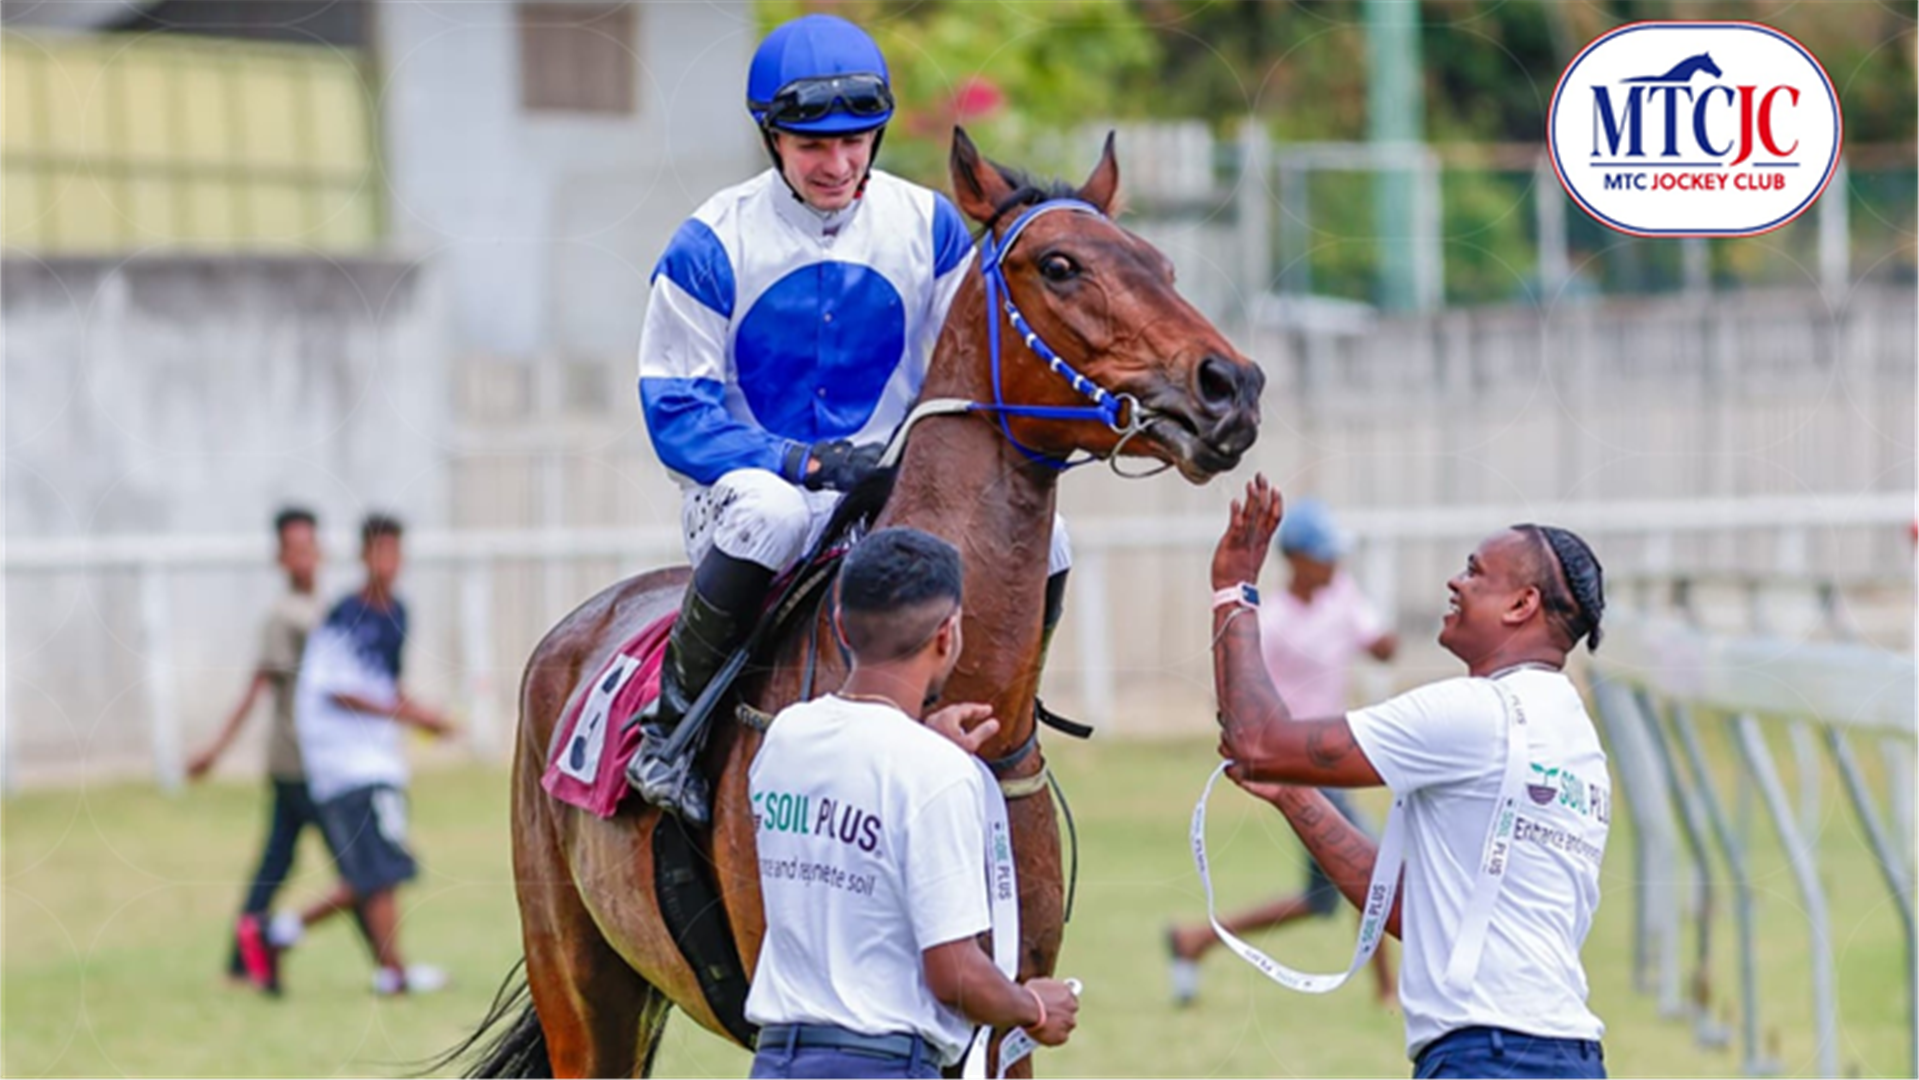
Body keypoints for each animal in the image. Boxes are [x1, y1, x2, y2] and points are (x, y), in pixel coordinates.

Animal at [467, 129, 1264, 1079]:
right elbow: (679, 396)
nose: (1230, 384)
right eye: (1059, 265)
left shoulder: (1011, 1017)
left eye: (1160, 263)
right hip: (581, 990)